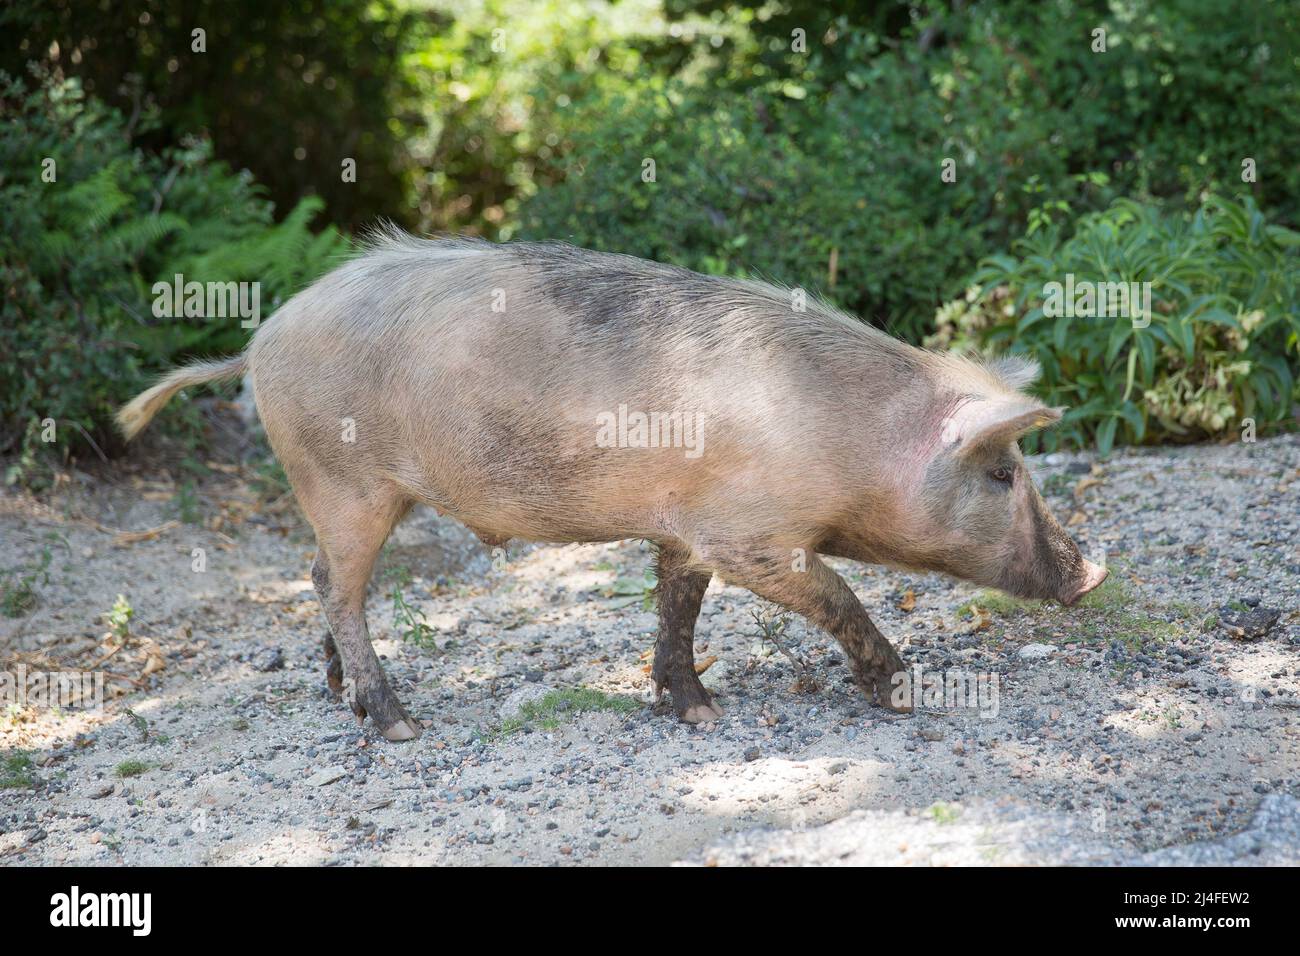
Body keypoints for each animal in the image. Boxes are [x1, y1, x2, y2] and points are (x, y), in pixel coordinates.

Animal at [118, 229, 1108, 741]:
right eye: (1004, 470)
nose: (1093, 573)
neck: (850, 439)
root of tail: (257, 342)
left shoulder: (686, 525)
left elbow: (678, 606)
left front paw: (697, 711)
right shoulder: (751, 535)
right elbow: (838, 598)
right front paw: (902, 696)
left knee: (322, 581)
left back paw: (339, 695)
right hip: (341, 478)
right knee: (338, 585)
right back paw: (396, 724)